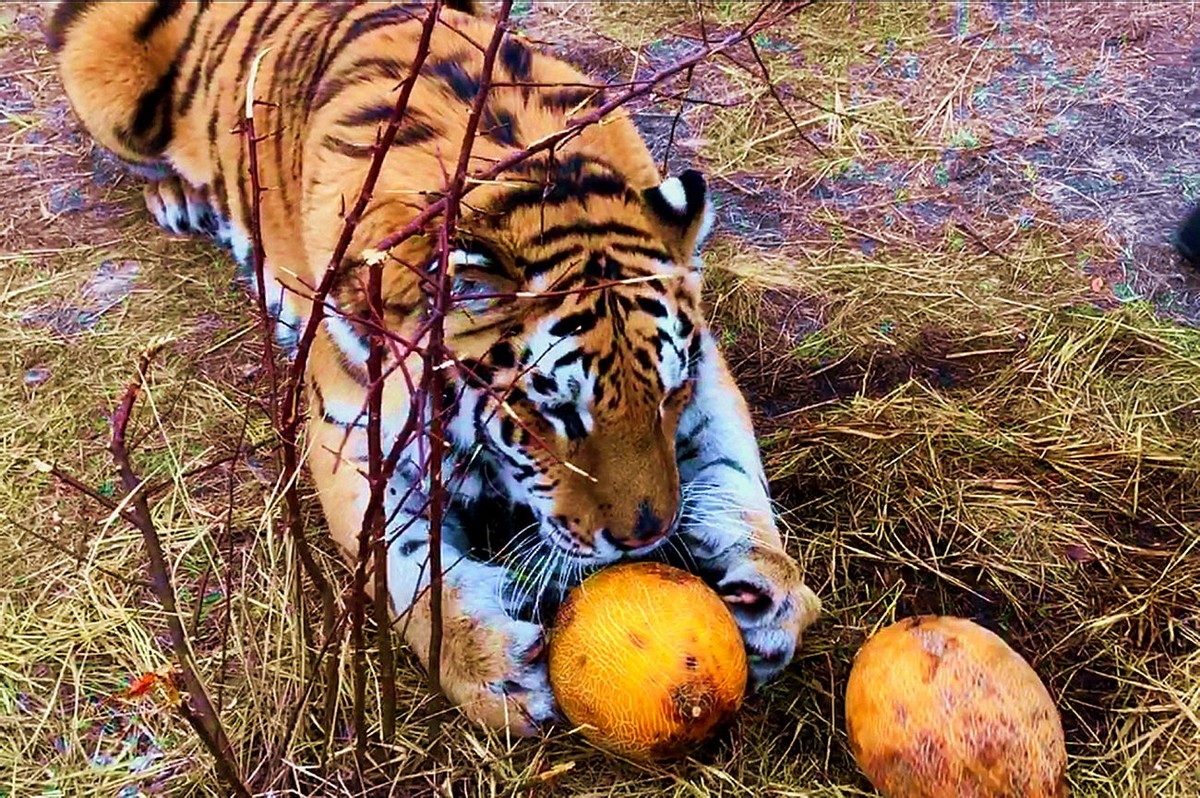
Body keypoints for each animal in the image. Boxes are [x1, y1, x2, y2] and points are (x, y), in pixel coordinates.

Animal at [46, 0, 821, 734]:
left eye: (668, 394)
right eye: (556, 413)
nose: (647, 538)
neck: (529, 184)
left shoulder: (706, 368)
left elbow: (736, 469)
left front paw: (771, 592)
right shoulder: (350, 430)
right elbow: (403, 572)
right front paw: (490, 670)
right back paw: (177, 196)